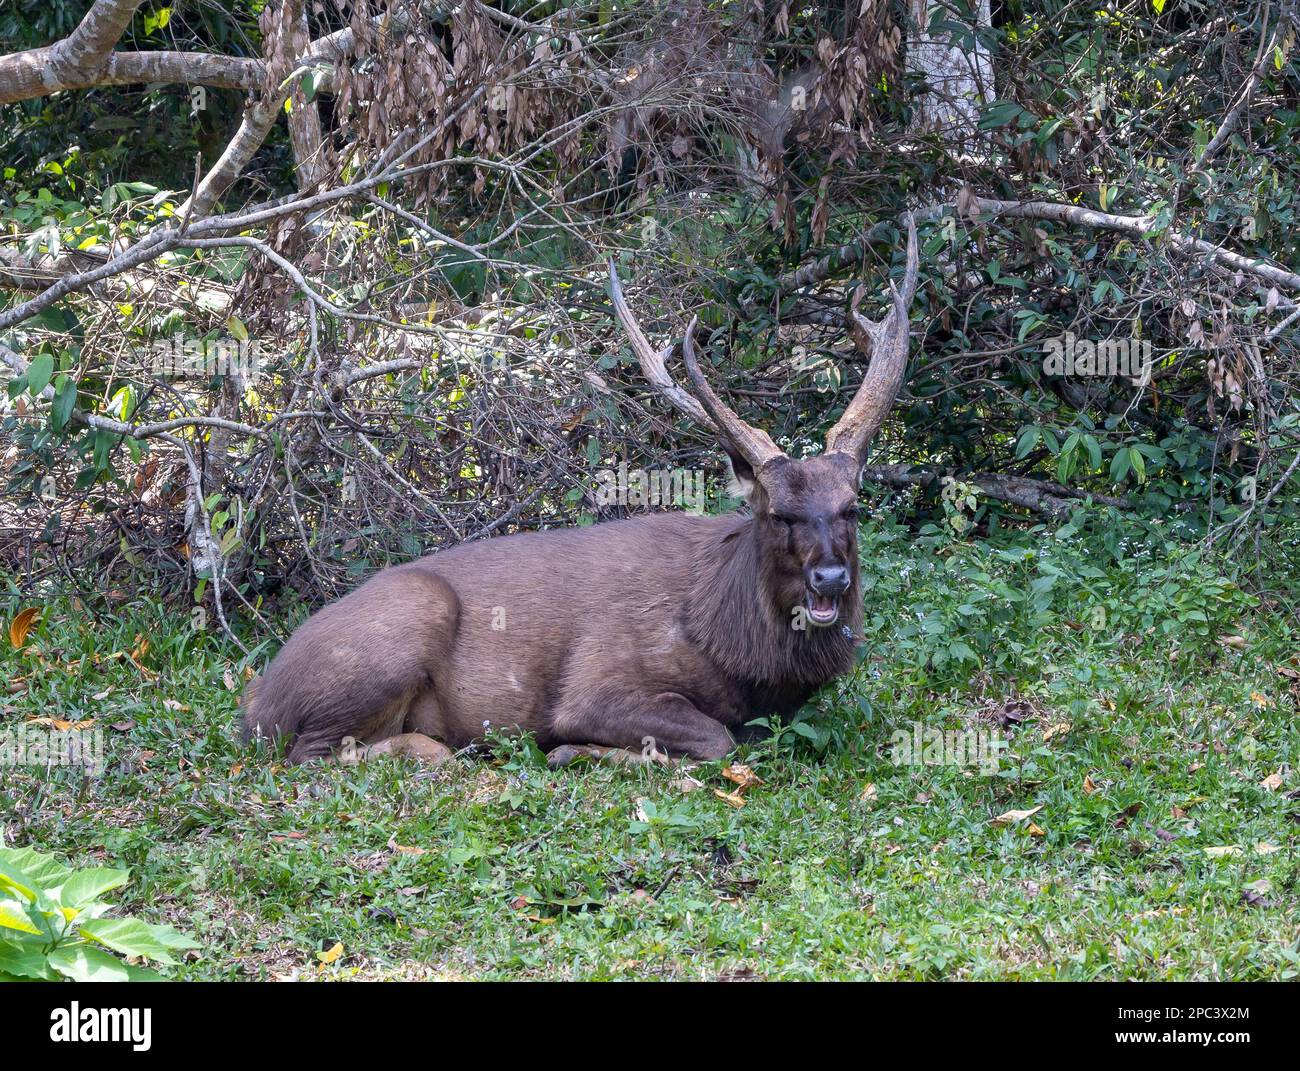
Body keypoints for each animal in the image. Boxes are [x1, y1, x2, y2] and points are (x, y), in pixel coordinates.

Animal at [239, 219, 920, 769]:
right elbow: (716, 740)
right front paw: (576, 750)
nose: (830, 578)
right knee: (313, 754)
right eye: (779, 514)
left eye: (852, 507)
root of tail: (257, 707)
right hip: (401, 627)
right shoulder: (600, 681)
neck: (737, 649)